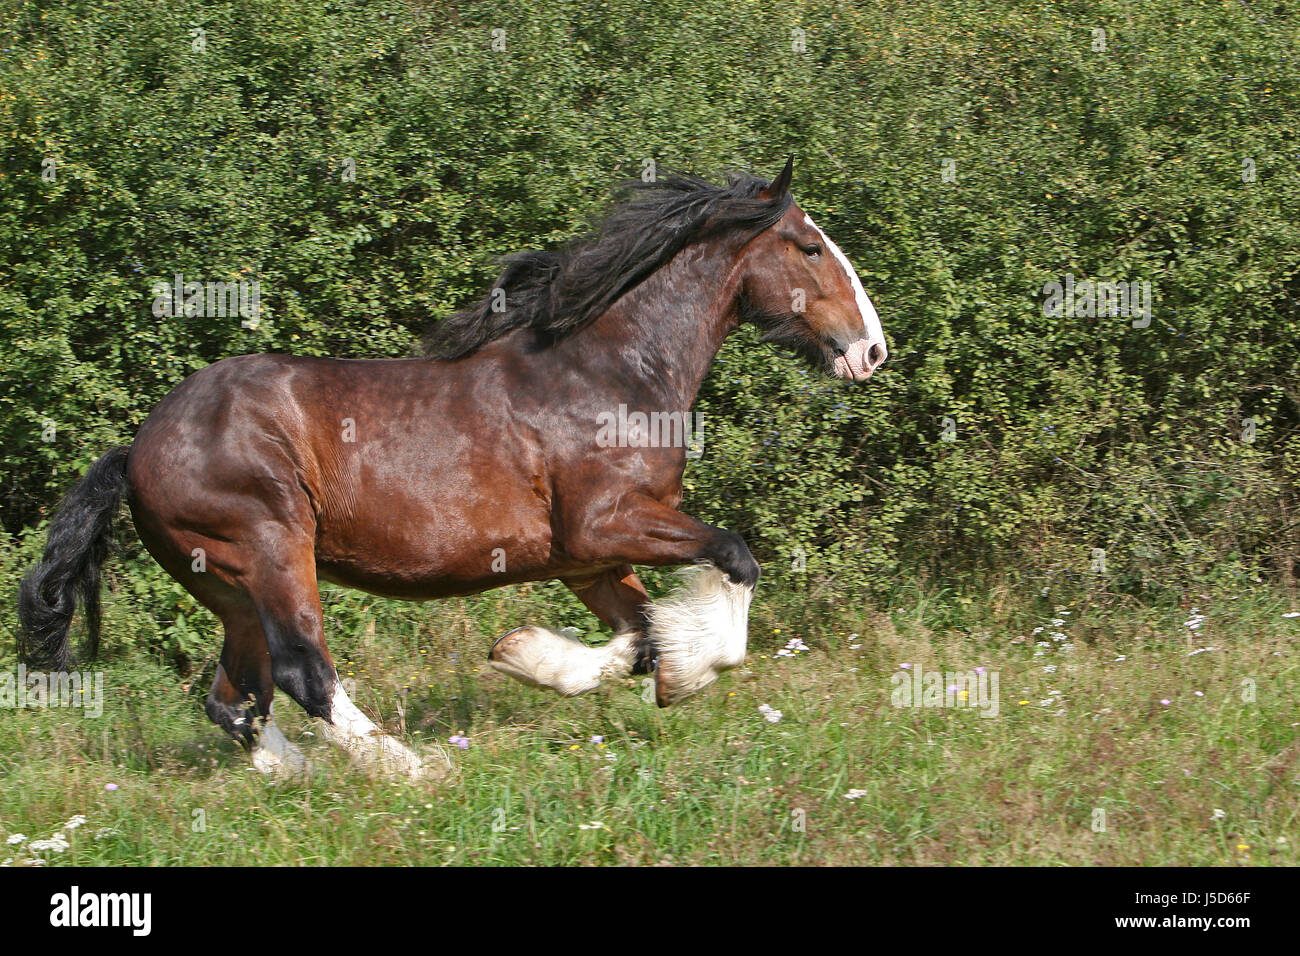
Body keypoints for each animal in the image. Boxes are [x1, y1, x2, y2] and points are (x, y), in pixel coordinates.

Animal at [17, 158, 888, 777]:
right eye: (810, 246)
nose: (872, 349)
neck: (611, 371)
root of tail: (136, 449)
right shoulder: (606, 523)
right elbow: (735, 560)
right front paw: (692, 667)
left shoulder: (585, 557)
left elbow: (638, 635)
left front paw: (532, 655)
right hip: (269, 552)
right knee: (304, 674)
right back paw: (415, 771)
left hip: (230, 589)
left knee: (234, 701)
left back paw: (304, 777)